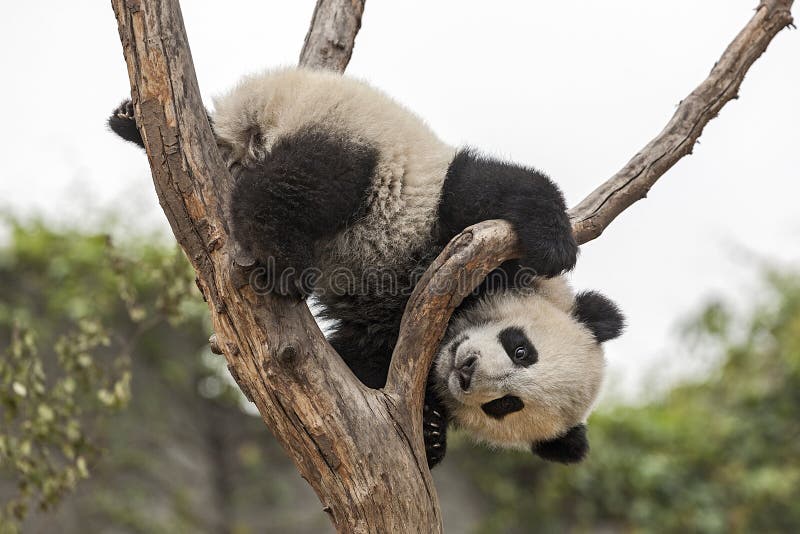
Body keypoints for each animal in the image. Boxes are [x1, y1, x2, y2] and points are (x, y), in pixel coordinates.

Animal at [108, 67, 624, 468]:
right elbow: (504, 188)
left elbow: (358, 366)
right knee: (302, 183)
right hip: (344, 126)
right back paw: (281, 260)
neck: (450, 326)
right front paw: (556, 245)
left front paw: (431, 432)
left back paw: (132, 123)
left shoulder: (384, 337)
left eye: (506, 404)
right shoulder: (460, 221)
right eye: (521, 349)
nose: (467, 369)